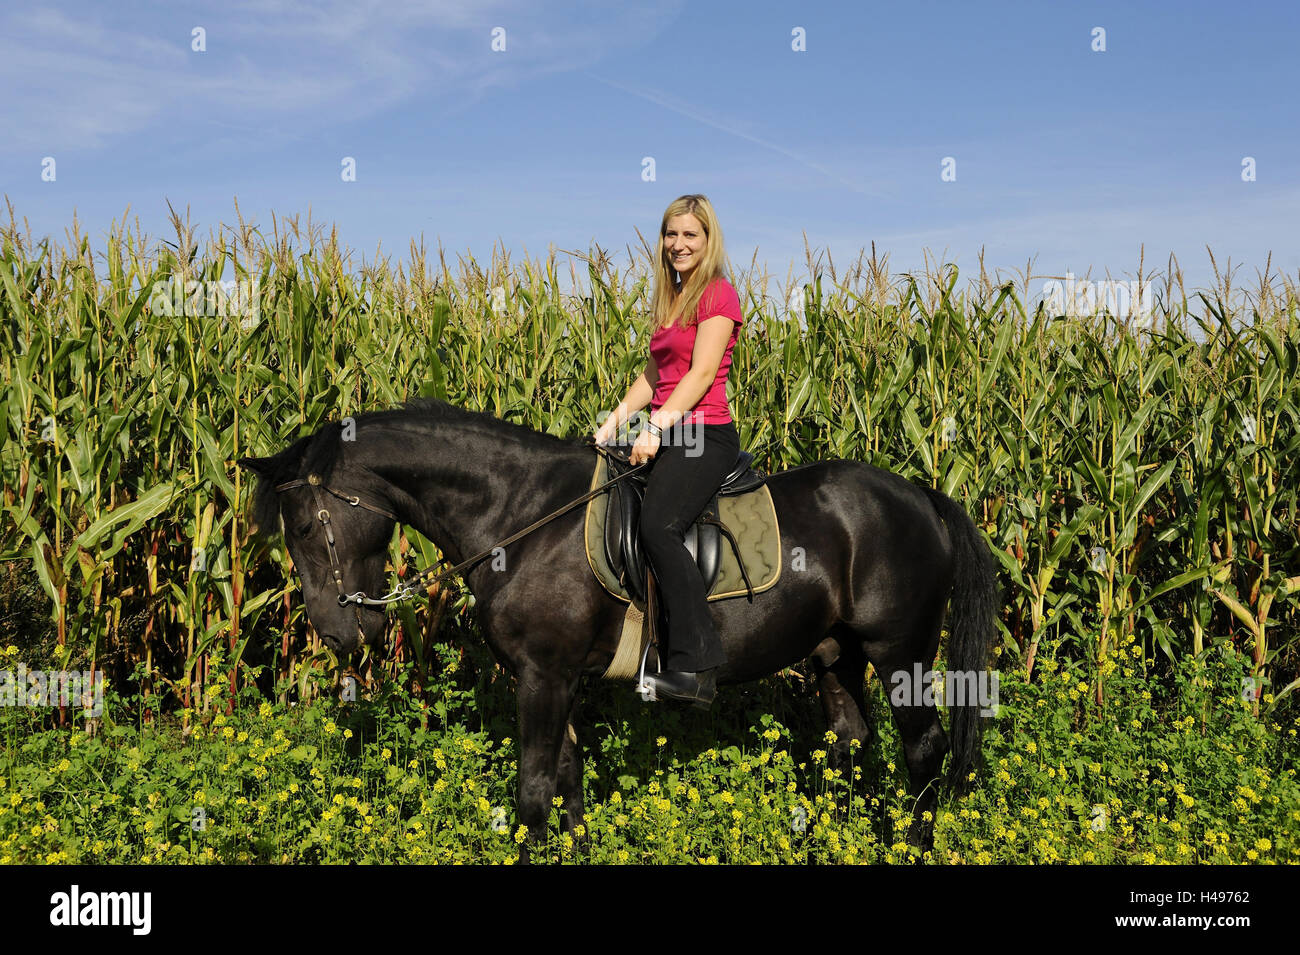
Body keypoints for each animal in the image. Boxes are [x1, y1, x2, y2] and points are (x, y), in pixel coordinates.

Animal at [238, 398, 999, 862]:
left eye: (301, 526)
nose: (340, 633)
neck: (522, 515)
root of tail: (919, 494)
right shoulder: (557, 675)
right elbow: (568, 777)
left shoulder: (544, 675)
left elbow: (534, 787)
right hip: (835, 655)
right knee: (849, 741)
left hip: (900, 653)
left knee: (923, 748)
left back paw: (913, 848)